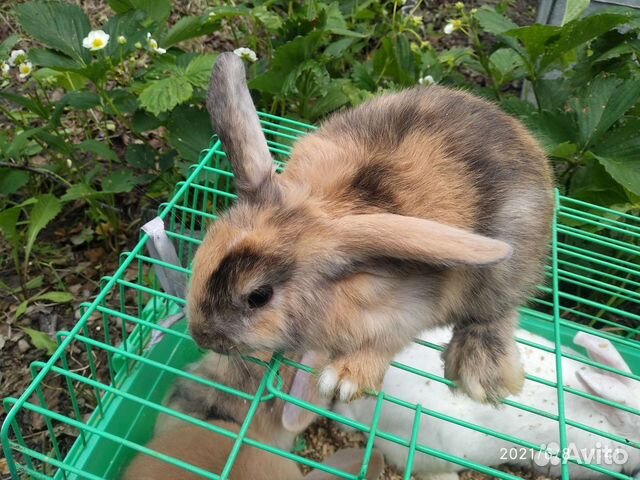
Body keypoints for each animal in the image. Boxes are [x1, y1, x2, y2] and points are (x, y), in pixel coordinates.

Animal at [187, 51, 554, 405]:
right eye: (204, 251)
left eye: (259, 296)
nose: (201, 336)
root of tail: (519, 132)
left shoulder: (407, 313)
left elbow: (383, 344)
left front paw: (343, 381)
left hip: (505, 267)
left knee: (497, 313)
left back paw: (482, 374)